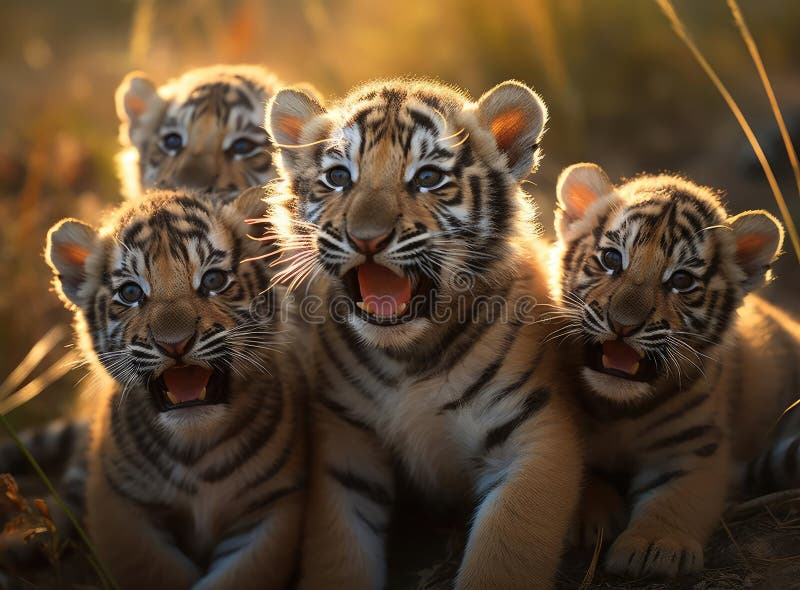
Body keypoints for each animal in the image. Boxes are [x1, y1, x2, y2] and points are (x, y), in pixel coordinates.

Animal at [42, 188, 307, 590]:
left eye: (213, 280)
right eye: (131, 292)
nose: (174, 344)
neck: (194, 445)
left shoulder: (271, 507)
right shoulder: (122, 506)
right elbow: (157, 570)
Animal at [264, 78, 583, 590]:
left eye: (428, 178)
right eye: (339, 177)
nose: (366, 238)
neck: (406, 357)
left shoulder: (535, 432)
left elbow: (505, 550)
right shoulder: (344, 443)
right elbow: (338, 554)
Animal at [551, 162, 800, 578]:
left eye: (681, 281)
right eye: (611, 259)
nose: (623, 325)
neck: (618, 409)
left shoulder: (692, 448)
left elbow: (674, 498)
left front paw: (654, 547)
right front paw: (589, 520)